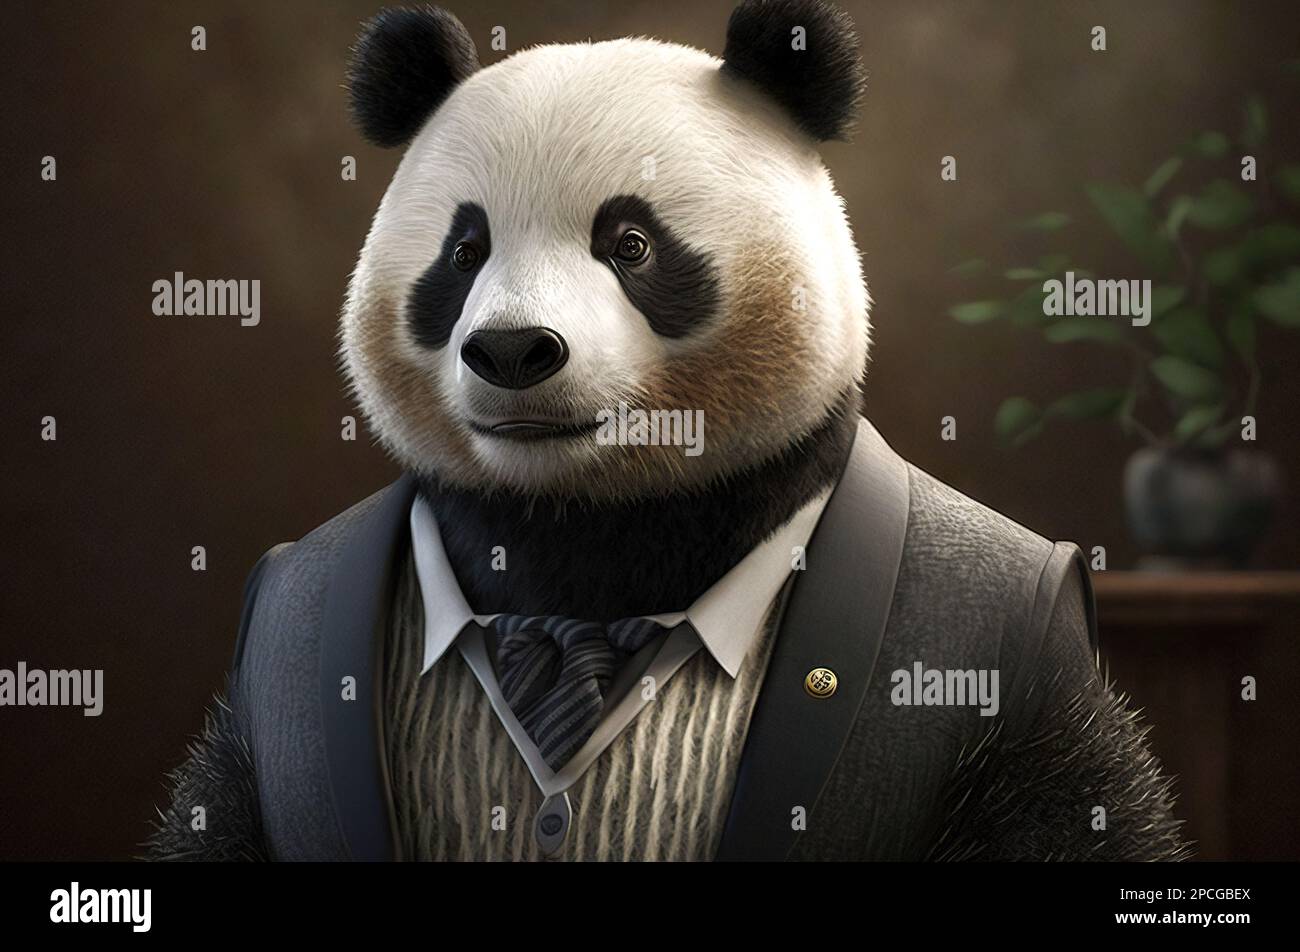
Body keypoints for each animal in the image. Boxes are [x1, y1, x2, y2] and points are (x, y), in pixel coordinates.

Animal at [147, 0, 1190, 862]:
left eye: (632, 244)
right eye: (464, 251)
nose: (514, 351)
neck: (585, 525)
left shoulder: (1029, 699)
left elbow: (1071, 807)